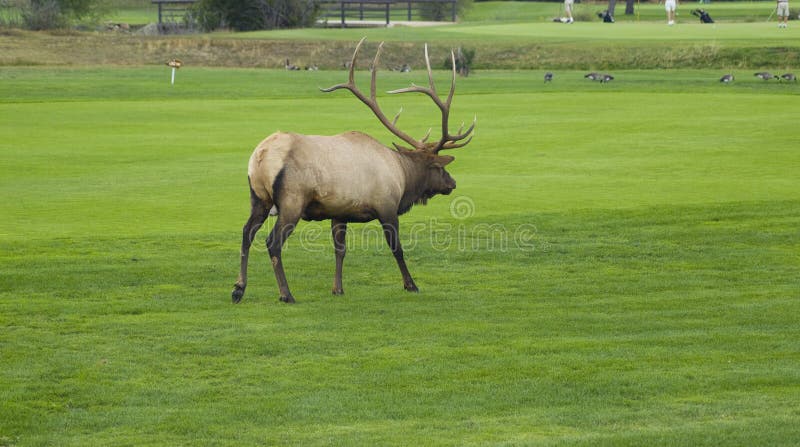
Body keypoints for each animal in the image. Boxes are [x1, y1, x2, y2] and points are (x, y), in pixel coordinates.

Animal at [232, 38, 475, 304]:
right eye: (440, 167)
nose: (452, 183)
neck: (403, 178)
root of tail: (261, 156)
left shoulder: (339, 212)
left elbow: (340, 250)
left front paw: (337, 288)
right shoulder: (387, 206)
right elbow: (397, 248)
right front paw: (411, 284)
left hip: (258, 197)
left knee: (246, 233)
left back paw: (239, 288)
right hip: (291, 200)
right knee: (272, 242)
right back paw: (286, 294)